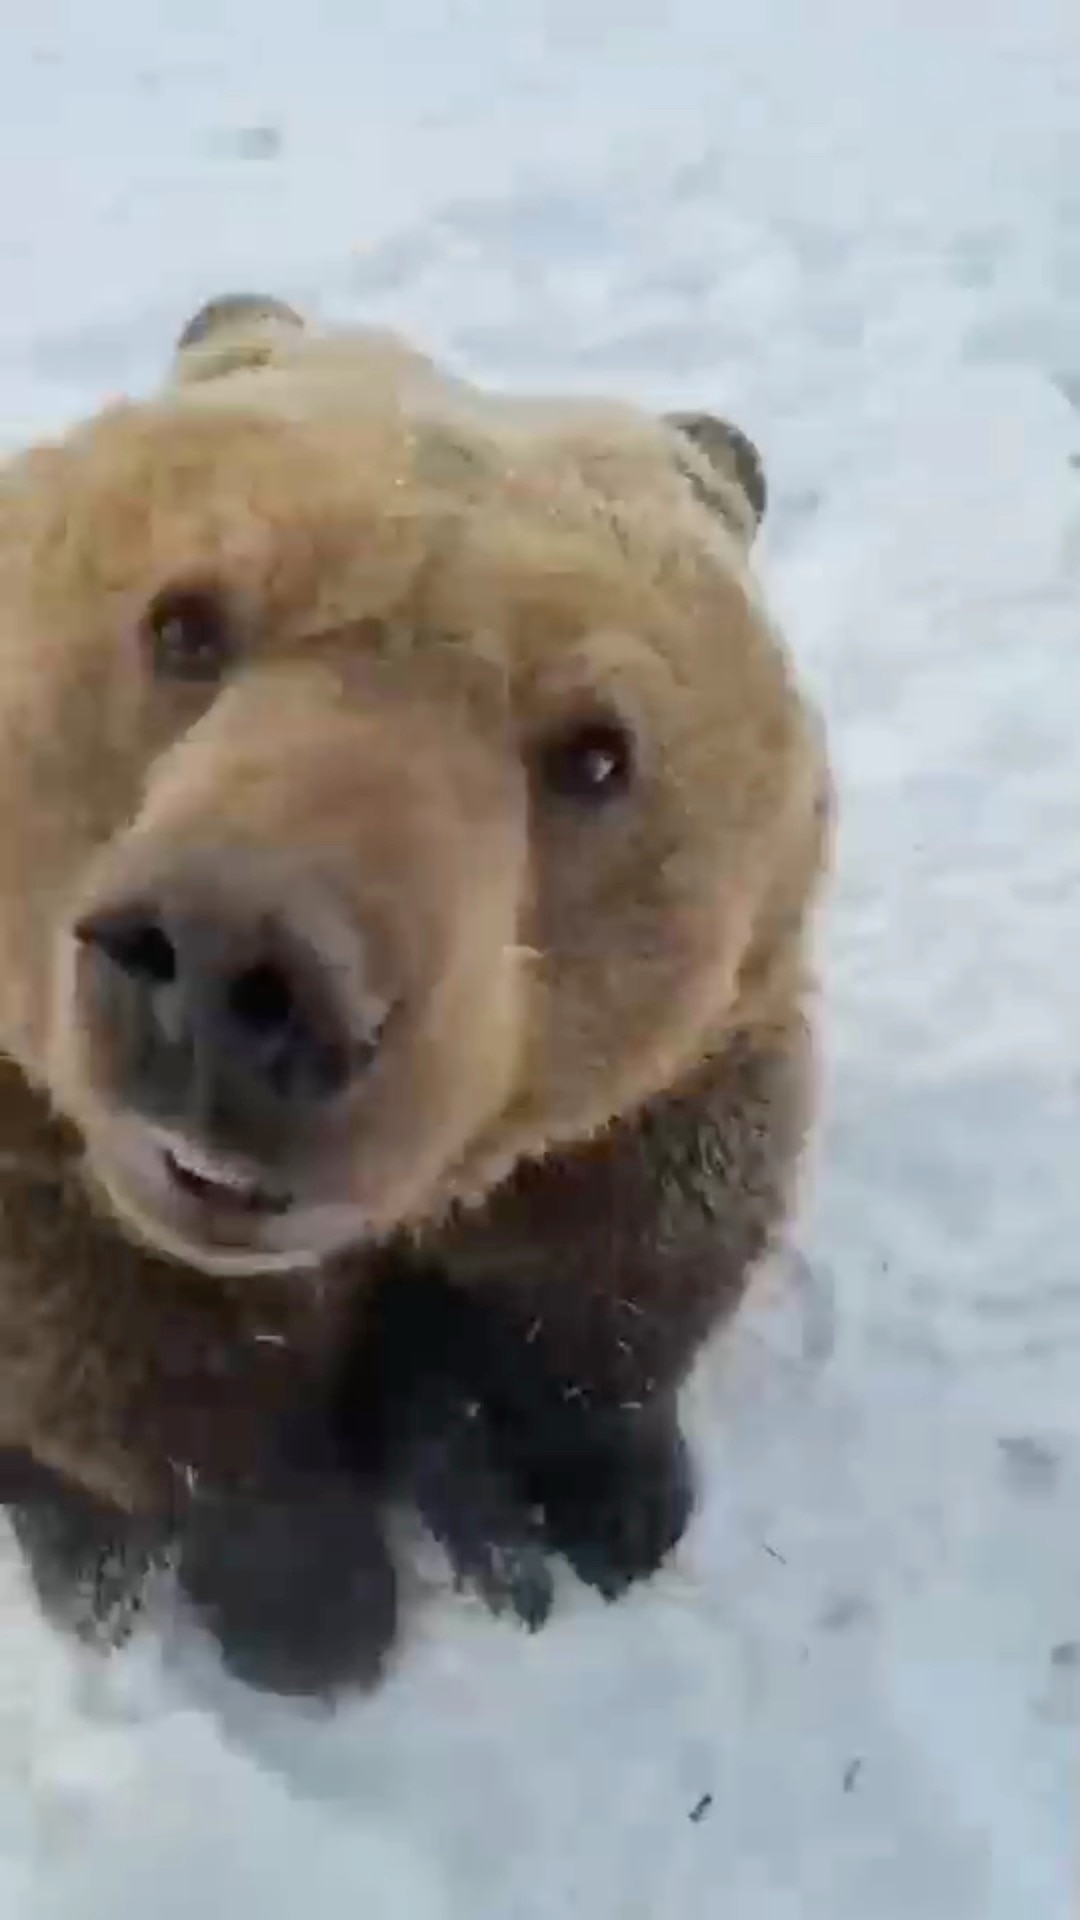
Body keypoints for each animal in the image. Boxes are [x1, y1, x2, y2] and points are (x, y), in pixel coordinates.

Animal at [0, 294, 831, 1696]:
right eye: (185, 620)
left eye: (597, 752)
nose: (231, 970)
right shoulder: (39, 1136)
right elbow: (139, 1366)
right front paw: (304, 1605)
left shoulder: (687, 1059)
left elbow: (642, 1244)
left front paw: (589, 1497)